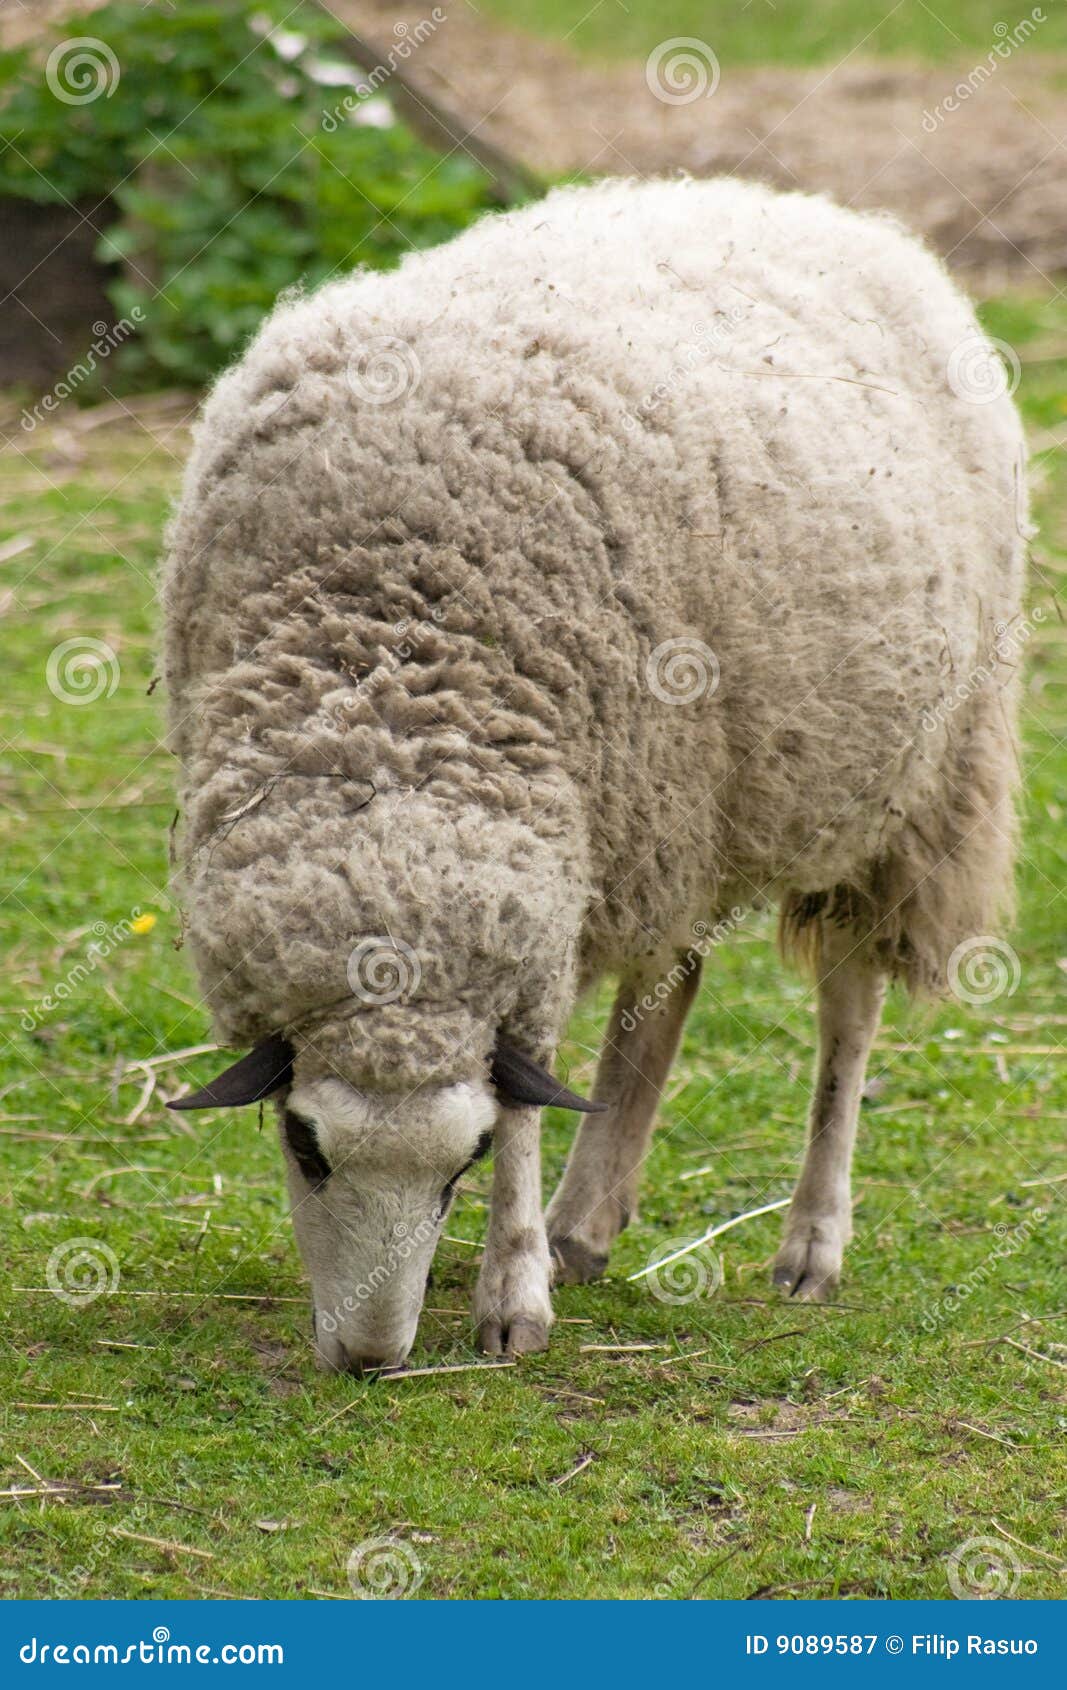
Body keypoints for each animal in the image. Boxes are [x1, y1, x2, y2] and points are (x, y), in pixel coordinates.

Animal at [162, 176, 1027, 1373]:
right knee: (665, 992)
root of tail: (810, 206)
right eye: (304, 1145)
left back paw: (809, 1239)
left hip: (907, 791)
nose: (371, 1358)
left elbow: (532, 1096)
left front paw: (510, 1295)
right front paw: (536, 1257)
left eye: (465, 1164)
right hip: (680, 813)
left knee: (847, 1013)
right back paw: (588, 1219)